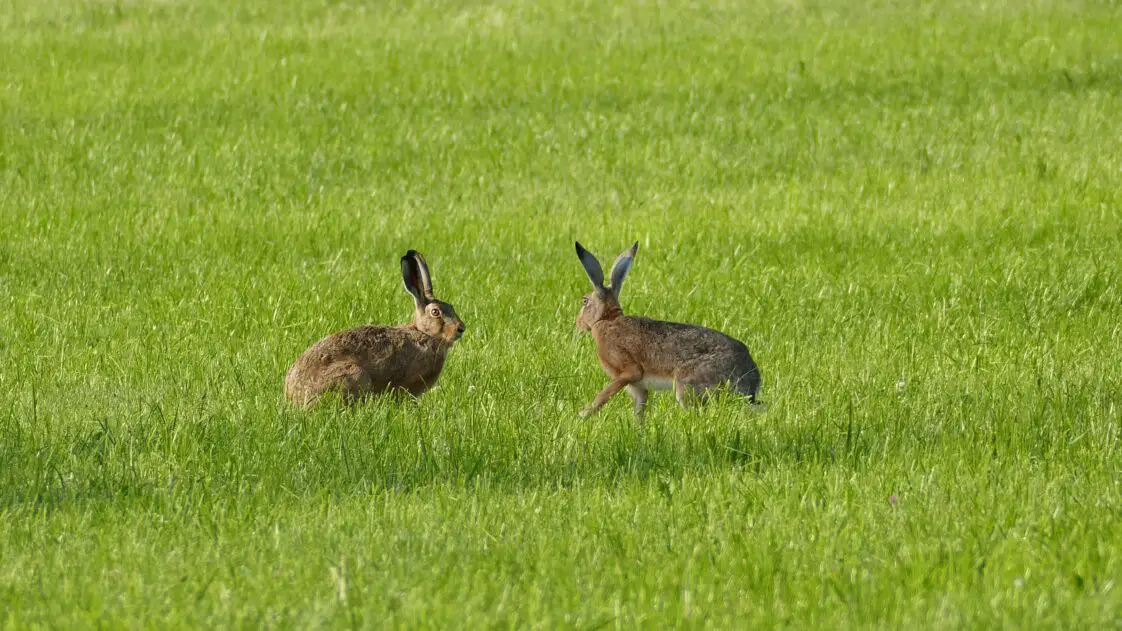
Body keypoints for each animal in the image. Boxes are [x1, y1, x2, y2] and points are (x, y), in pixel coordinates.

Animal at [284, 250, 465, 406]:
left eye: (451, 307)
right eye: (435, 312)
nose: (461, 328)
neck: (424, 333)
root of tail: (293, 396)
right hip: (353, 375)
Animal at [574, 241, 760, 421]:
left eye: (584, 301)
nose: (578, 322)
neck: (606, 321)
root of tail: (751, 379)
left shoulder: (628, 371)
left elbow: (603, 396)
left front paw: (582, 415)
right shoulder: (638, 387)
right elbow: (639, 409)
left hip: (686, 384)